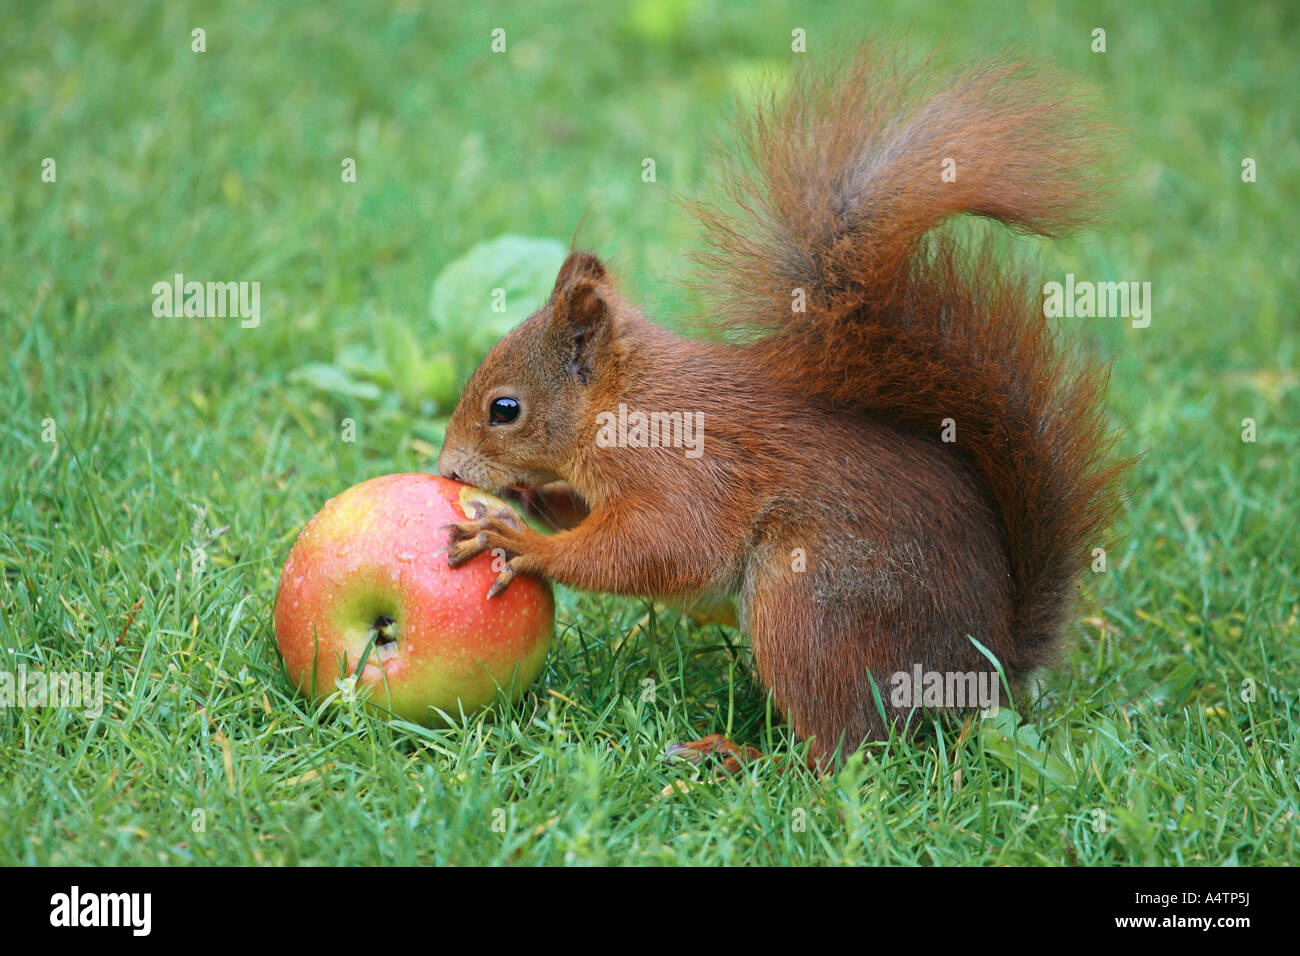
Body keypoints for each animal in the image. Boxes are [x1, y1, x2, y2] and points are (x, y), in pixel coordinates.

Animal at [436, 45, 1128, 771]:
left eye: (504, 408)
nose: (450, 469)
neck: (623, 404)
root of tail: (985, 674)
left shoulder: (680, 474)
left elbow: (662, 550)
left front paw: (522, 541)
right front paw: (533, 499)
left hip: (808, 609)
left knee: (841, 750)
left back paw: (736, 757)